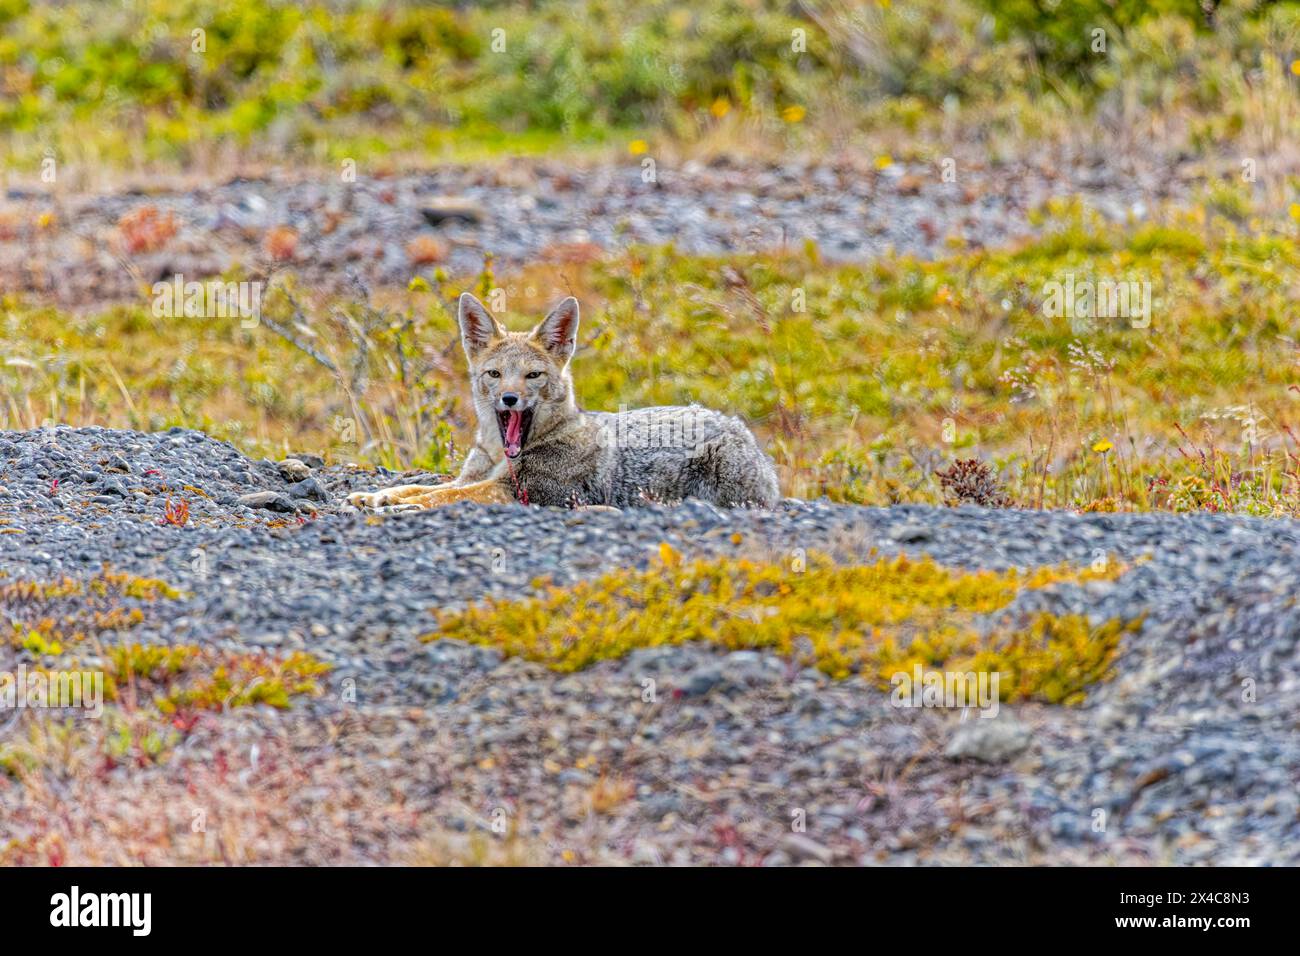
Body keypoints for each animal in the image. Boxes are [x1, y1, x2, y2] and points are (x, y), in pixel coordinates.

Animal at [346, 293, 781, 511]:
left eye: (533, 376)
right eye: (494, 374)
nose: (509, 398)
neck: (501, 453)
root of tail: (738, 425)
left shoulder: (523, 492)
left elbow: (443, 496)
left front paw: (395, 504)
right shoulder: (473, 477)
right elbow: (421, 486)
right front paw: (376, 495)